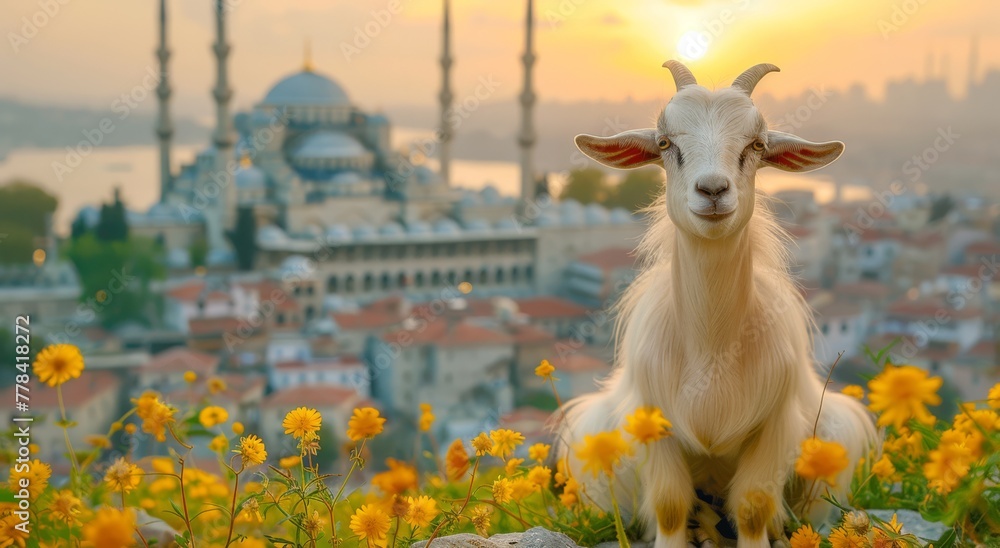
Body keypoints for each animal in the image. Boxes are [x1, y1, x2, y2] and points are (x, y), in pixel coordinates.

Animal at [560, 62, 877, 548]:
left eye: (757, 145)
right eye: (665, 143)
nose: (712, 190)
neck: (711, 353)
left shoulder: (775, 426)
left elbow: (752, 507)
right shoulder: (652, 422)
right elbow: (670, 506)